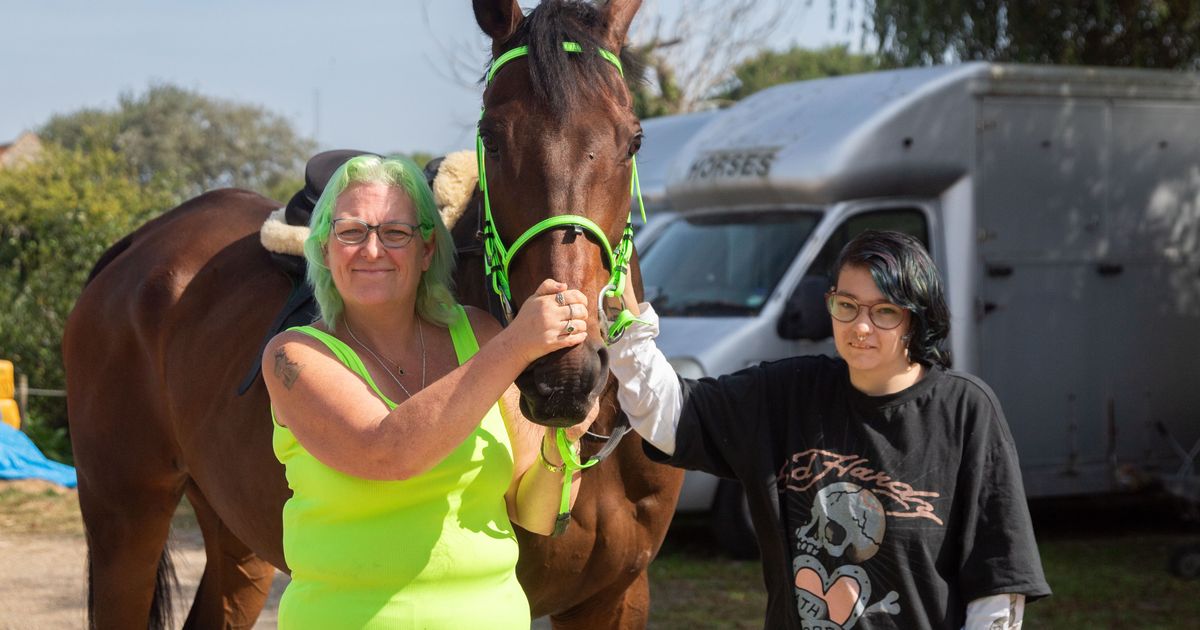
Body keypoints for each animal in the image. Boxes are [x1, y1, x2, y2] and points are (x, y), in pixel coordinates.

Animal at [63, 0, 683, 628]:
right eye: (491, 137)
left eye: (633, 140)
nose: (564, 375)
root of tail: (139, 243)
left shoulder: (617, 595)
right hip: (125, 517)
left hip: (235, 534)